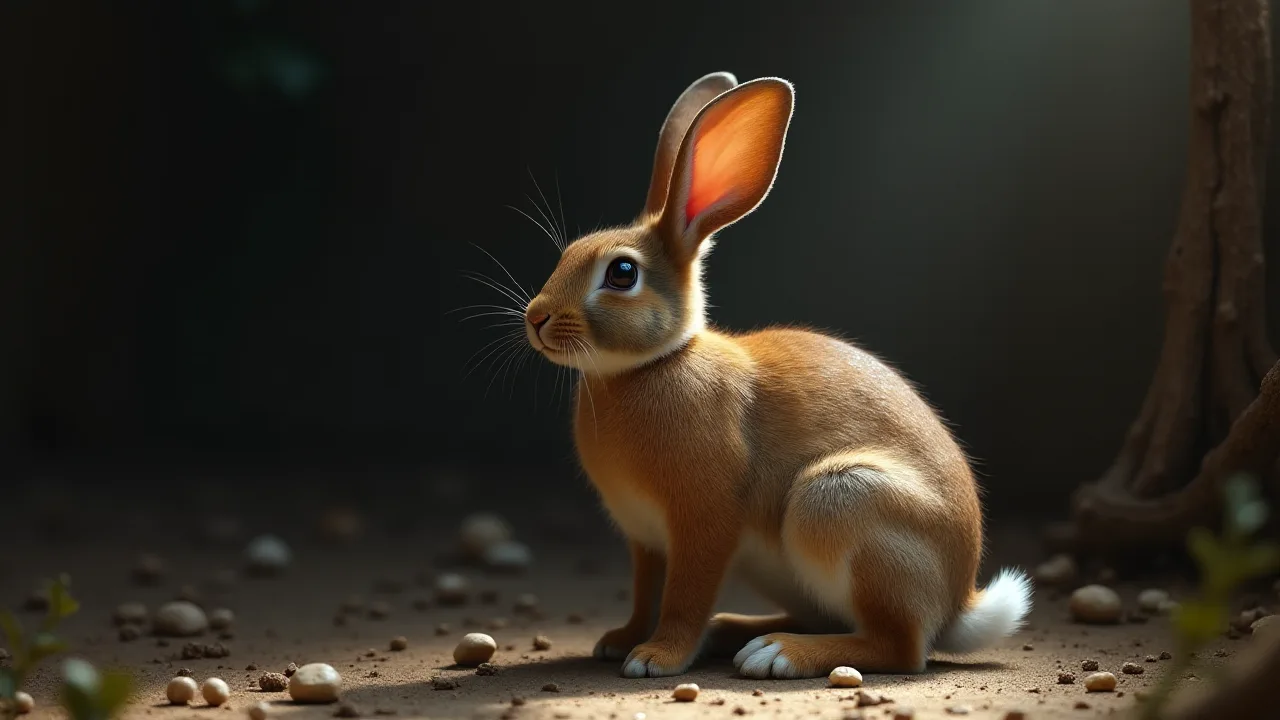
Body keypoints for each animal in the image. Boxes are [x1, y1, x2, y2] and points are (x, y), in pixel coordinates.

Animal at [520, 71, 1032, 679]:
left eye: (622, 273)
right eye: (570, 252)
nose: (535, 318)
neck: (655, 363)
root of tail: (960, 605)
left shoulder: (703, 525)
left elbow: (684, 597)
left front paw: (656, 658)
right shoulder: (645, 542)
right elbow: (645, 594)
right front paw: (620, 641)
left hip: (839, 503)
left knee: (899, 647)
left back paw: (777, 654)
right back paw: (738, 634)